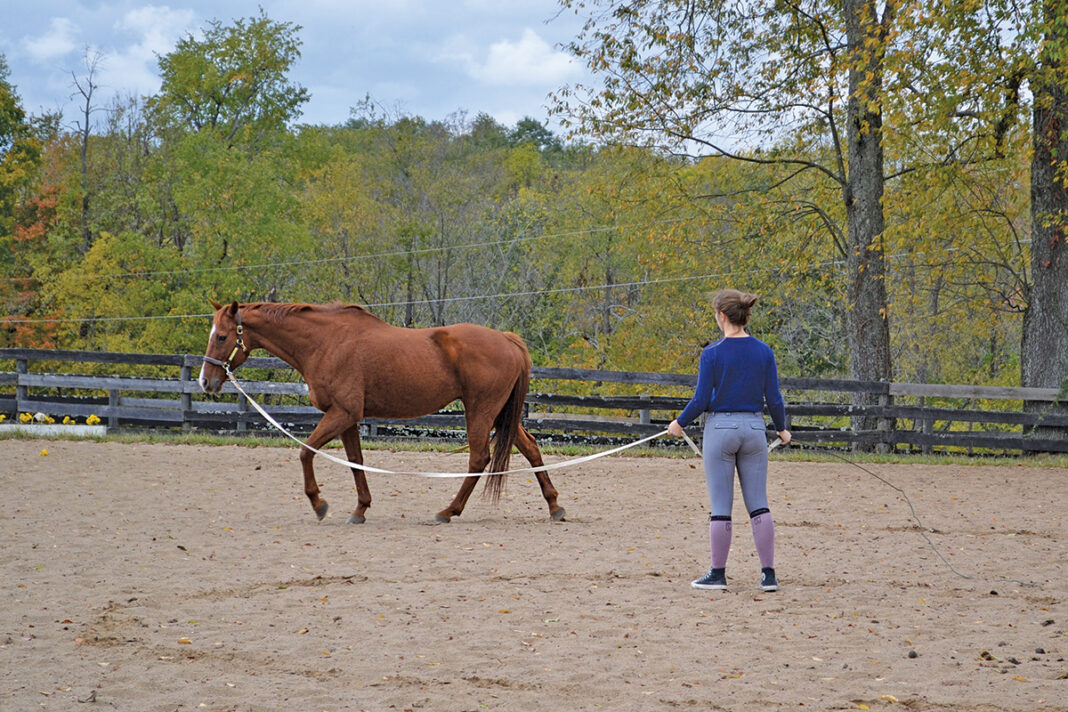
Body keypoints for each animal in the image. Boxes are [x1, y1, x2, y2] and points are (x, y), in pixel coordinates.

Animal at [198, 300, 565, 524]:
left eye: (222, 336)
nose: (206, 381)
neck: (325, 342)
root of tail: (506, 339)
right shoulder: (348, 418)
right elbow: (355, 462)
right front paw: (360, 508)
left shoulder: (341, 414)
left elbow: (306, 452)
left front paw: (319, 504)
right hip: (502, 414)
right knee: (531, 448)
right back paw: (555, 506)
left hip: (481, 411)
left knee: (479, 458)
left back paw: (449, 511)